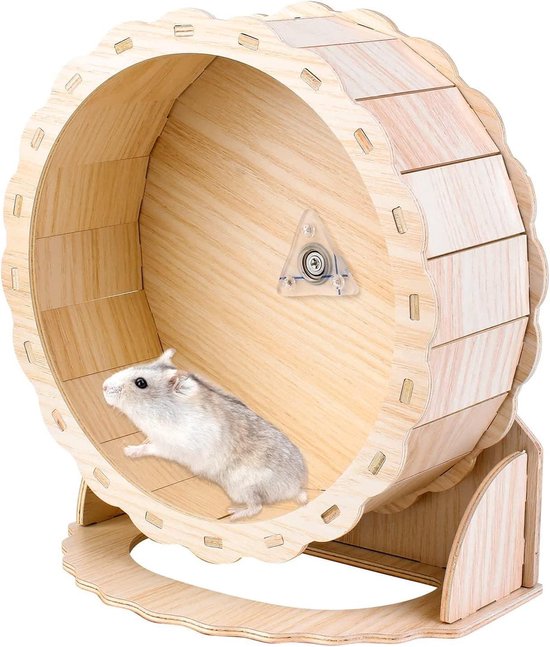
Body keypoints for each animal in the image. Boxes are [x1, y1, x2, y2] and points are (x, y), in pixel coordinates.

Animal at [102, 349, 308, 521]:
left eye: (141, 383)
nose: (103, 386)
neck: (163, 410)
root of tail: (296, 487)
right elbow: (147, 441)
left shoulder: (168, 446)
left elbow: (148, 448)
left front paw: (127, 450)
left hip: (242, 487)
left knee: (257, 507)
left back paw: (233, 513)